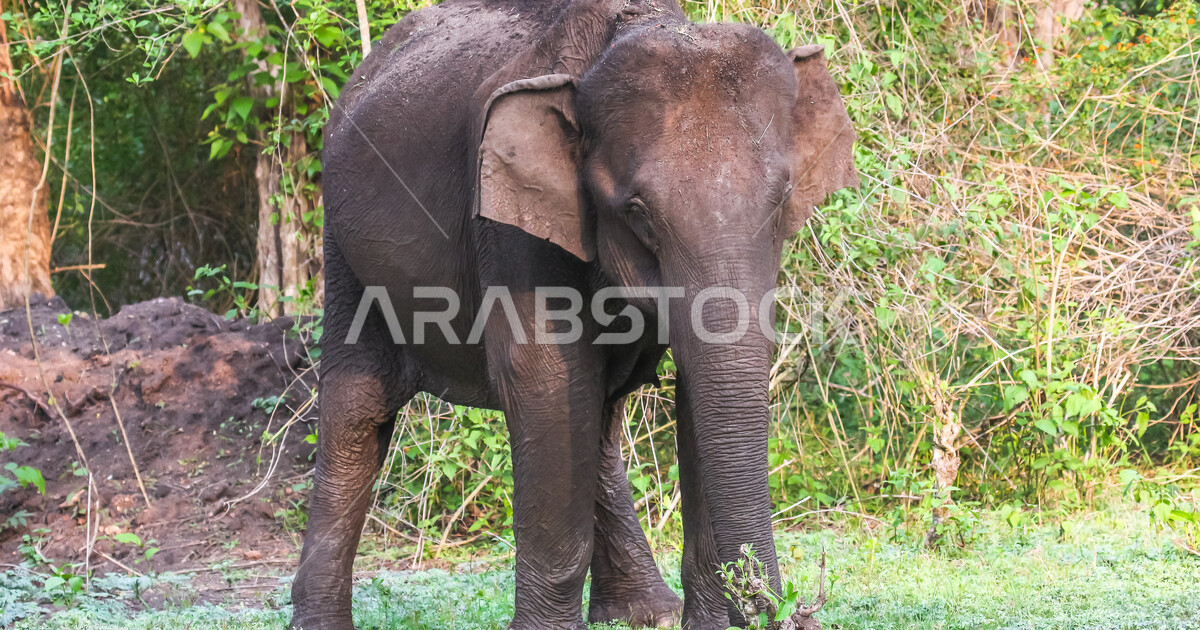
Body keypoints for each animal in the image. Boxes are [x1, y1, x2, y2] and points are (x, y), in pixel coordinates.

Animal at [291, 0, 857, 628]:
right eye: (637, 213)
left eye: (782, 201)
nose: (783, 609)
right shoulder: (510, 224)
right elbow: (544, 379)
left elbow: (694, 388)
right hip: (342, 245)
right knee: (358, 404)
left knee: (601, 412)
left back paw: (644, 611)